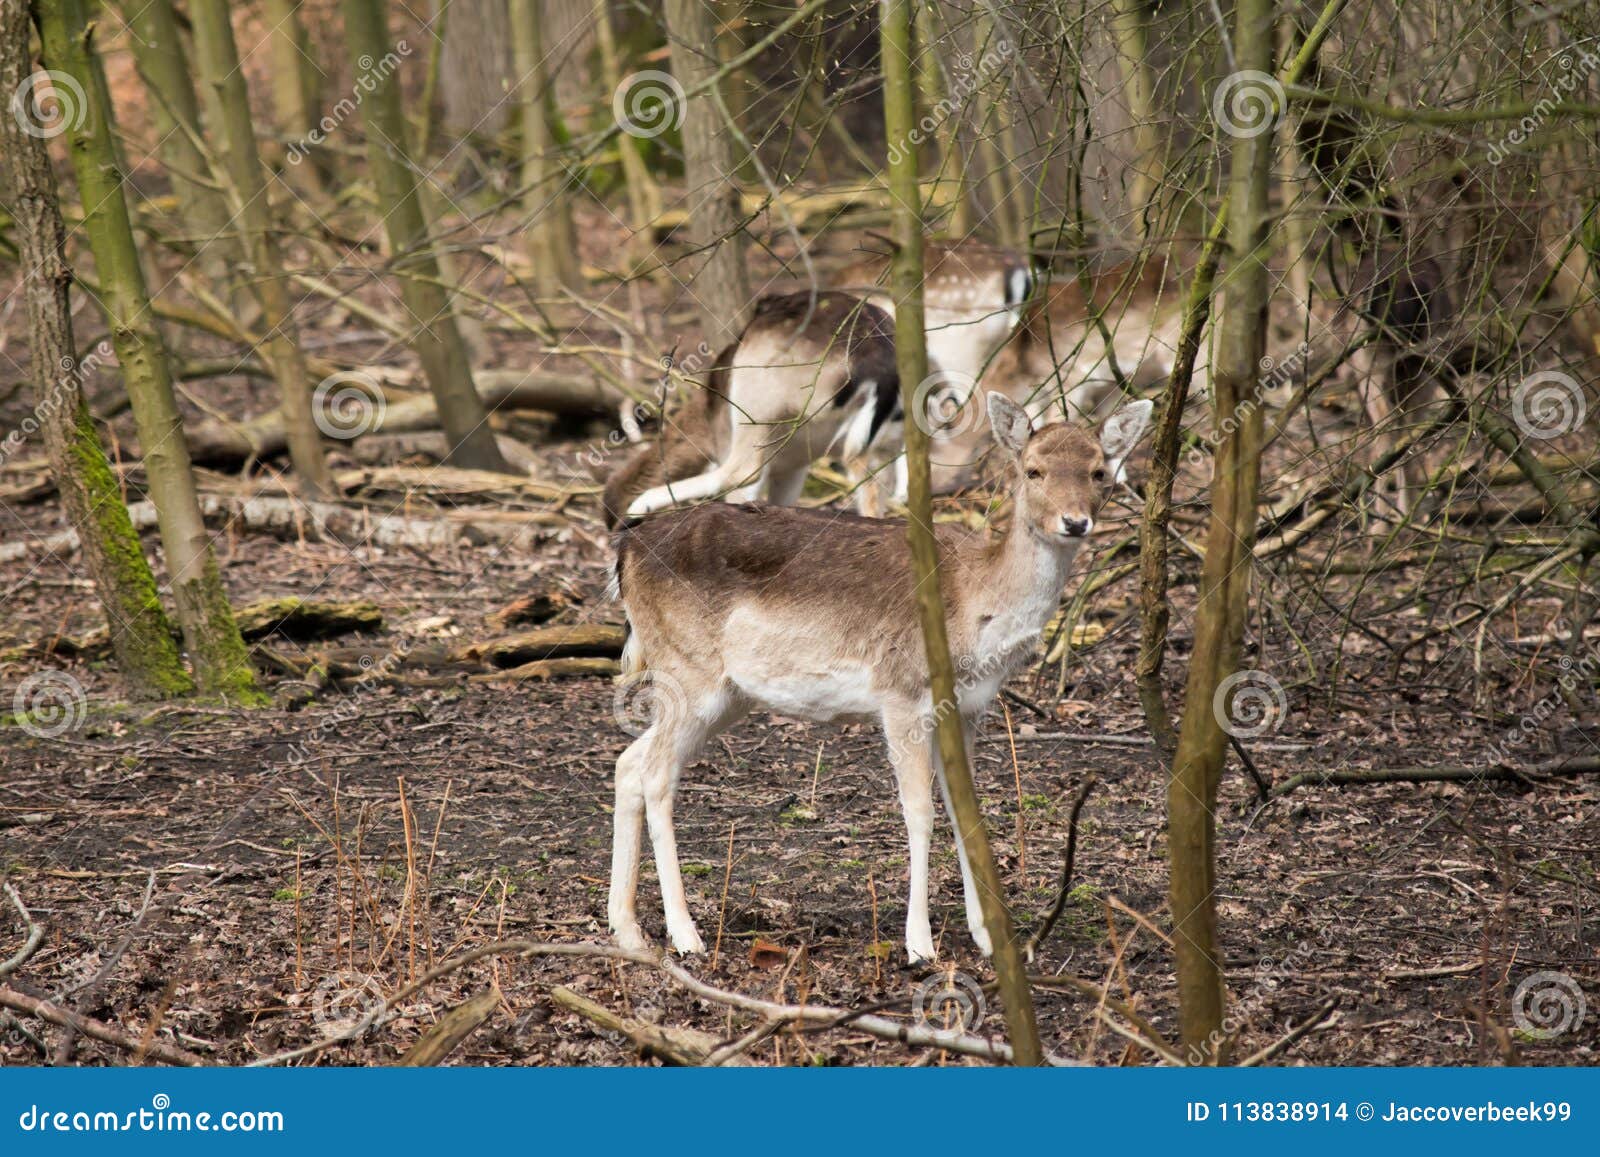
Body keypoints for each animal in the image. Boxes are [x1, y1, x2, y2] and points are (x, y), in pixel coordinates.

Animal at [605, 392, 1154, 962]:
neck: (976, 609)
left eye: (1099, 470)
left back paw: (628, 929)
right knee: (656, 773)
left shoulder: (968, 708)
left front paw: (987, 936)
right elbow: (919, 811)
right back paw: (684, 934)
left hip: (727, 694)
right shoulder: (901, 693)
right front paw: (920, 945)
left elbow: (966, 811)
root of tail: (624, 553)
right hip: (689, 673)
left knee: (629, 762)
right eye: (1034, 470)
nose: (1075, 522)